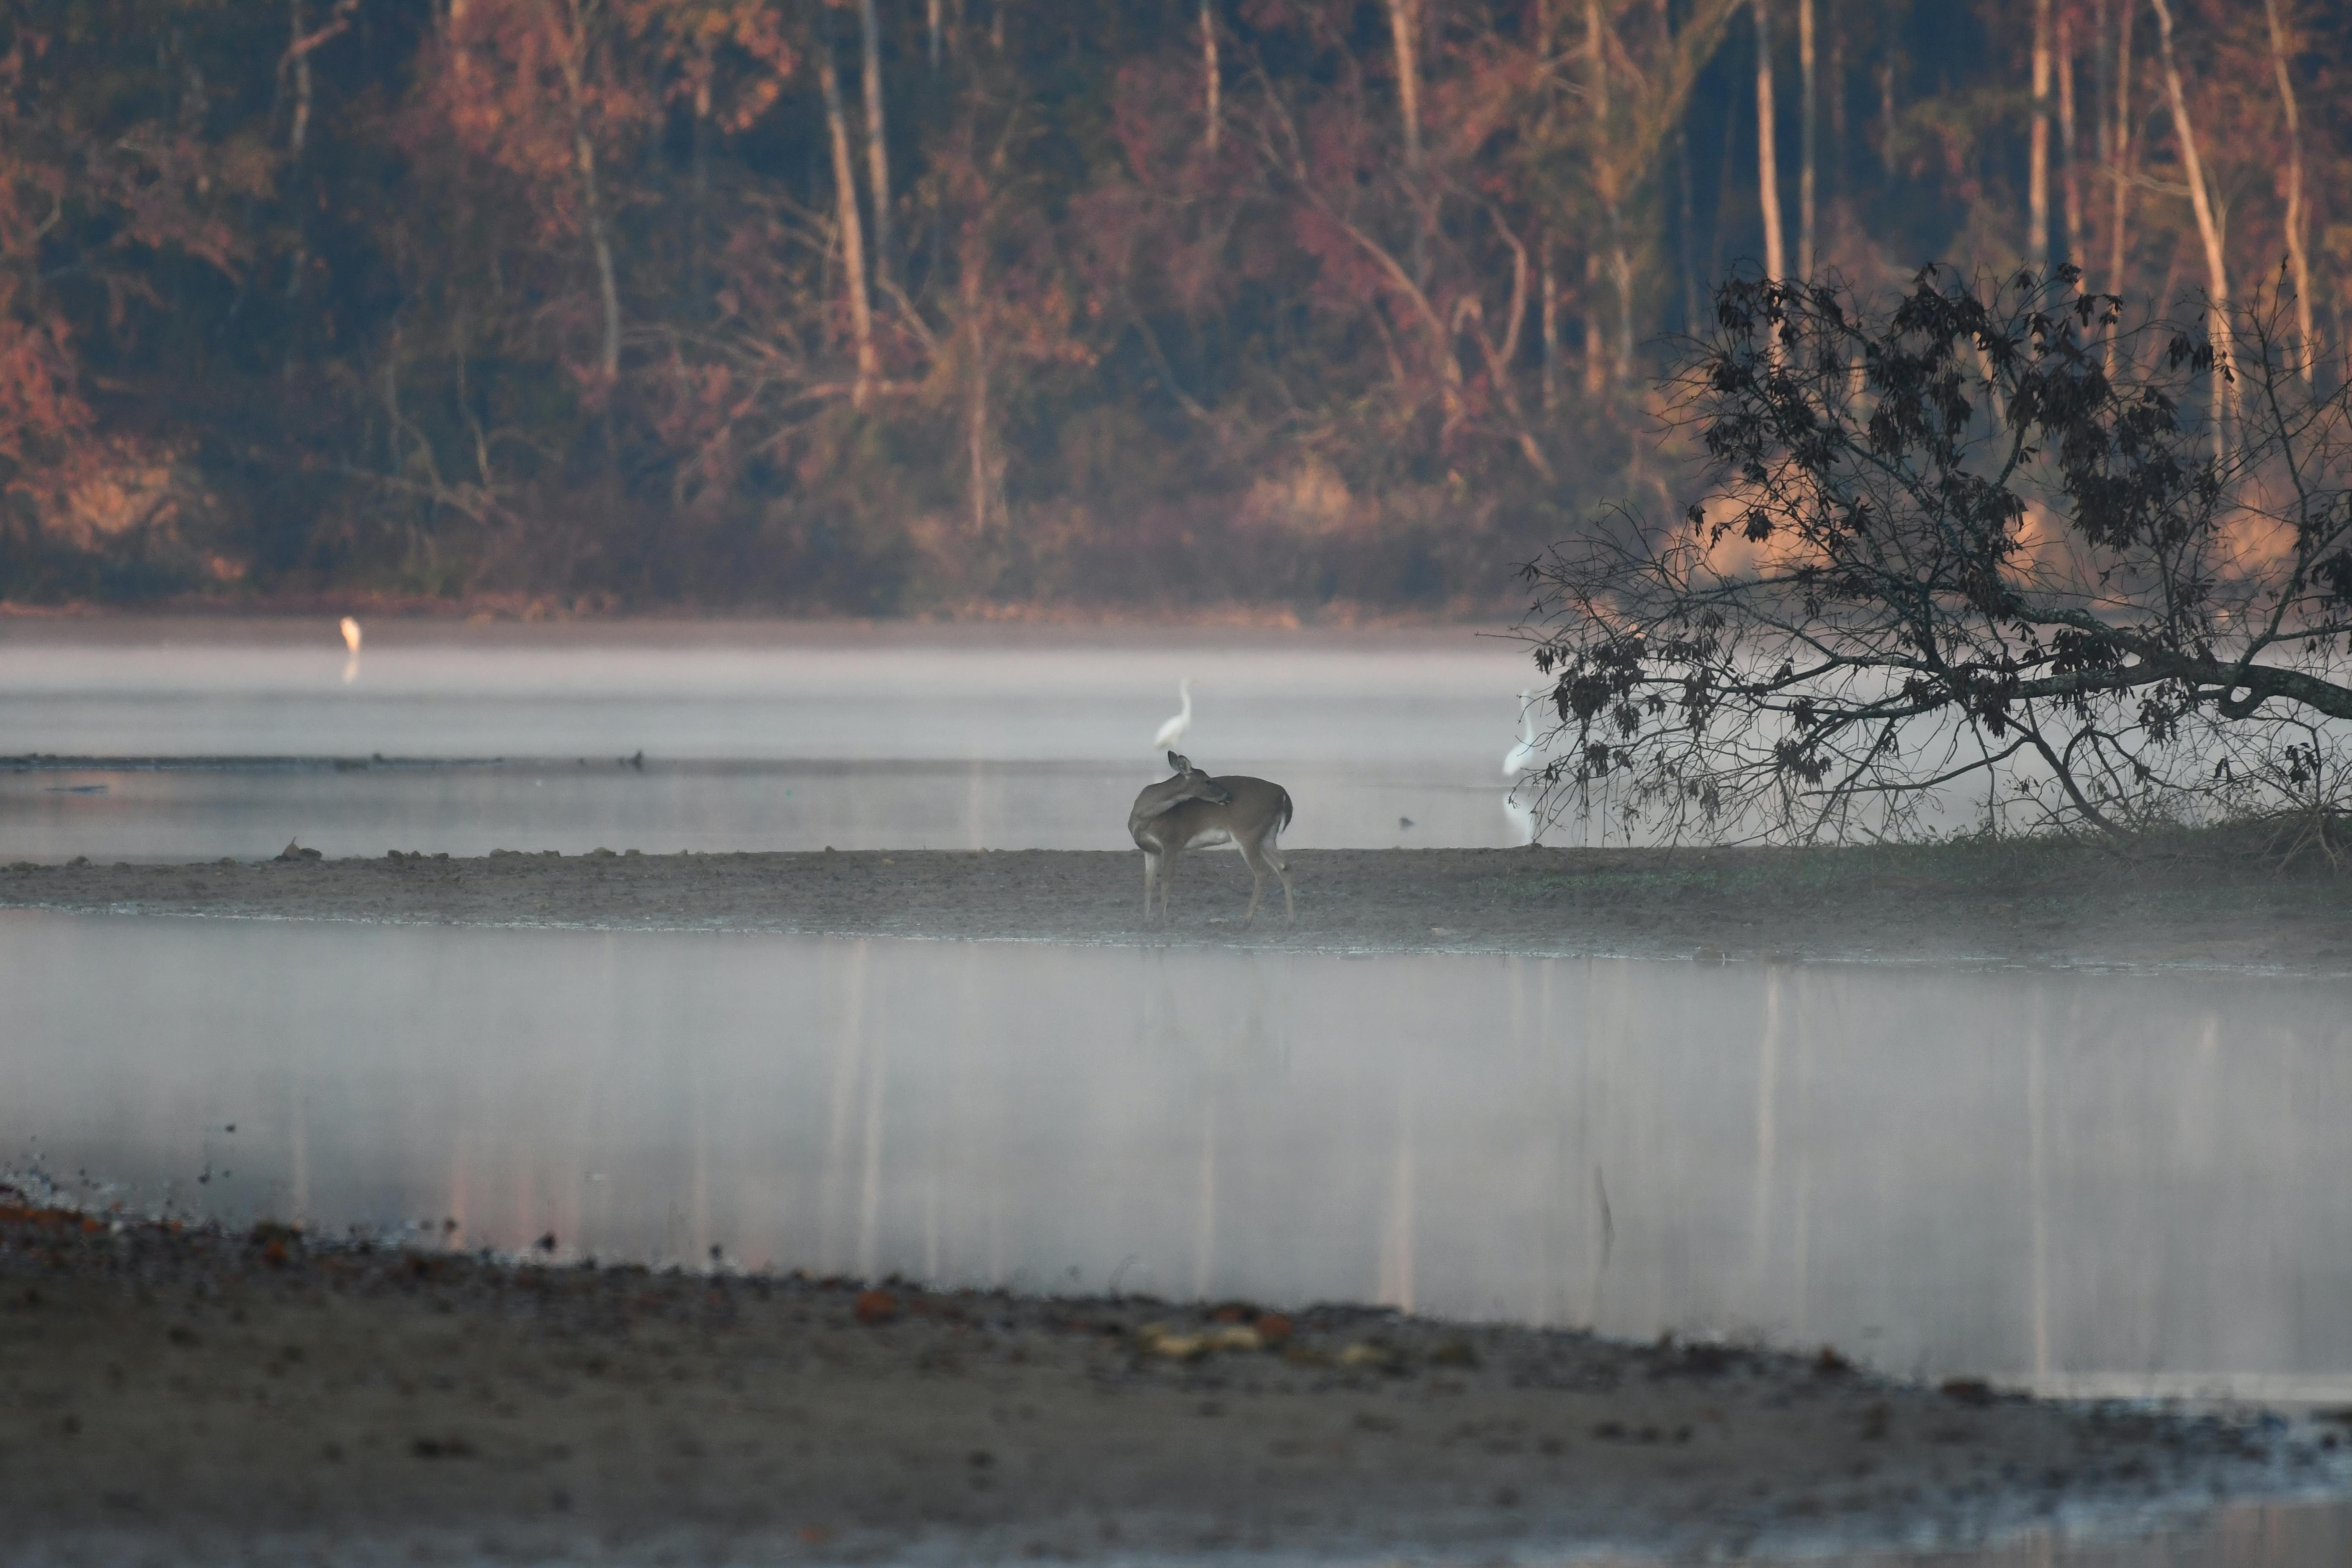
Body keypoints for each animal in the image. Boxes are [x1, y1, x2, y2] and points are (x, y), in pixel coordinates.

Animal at [1128, 751, 1295, 926]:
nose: (1229, 795)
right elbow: (1148, 883)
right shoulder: (1149, 850)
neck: (1144, 818)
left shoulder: (1172, 842)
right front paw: (1144, 921)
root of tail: (1283, 793)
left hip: (1247, 832)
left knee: (1262, 871)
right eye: (1208, 780)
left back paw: (1246, 921)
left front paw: (1161, 921)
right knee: (1284, 867)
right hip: (1267, 836)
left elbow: (1166, 881)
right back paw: (1290, 921)